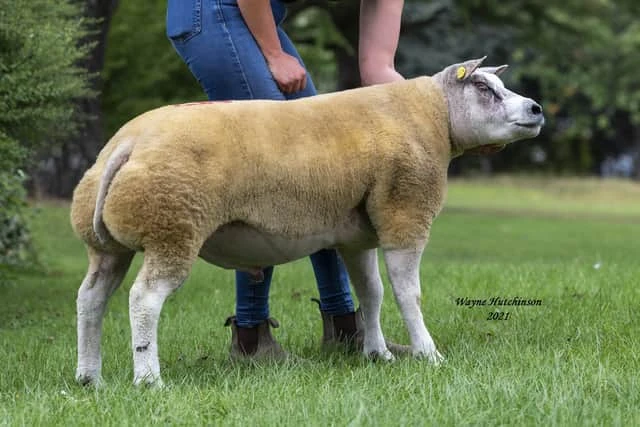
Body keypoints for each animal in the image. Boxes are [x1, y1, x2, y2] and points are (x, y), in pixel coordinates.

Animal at [70, 57, 544, 387]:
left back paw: (89, 377)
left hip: (107, 245)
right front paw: (428, 354)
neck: (434, 116)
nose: (536, 109)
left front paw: (377, 354)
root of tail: (129, 142)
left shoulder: (356, 235)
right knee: (144, 300)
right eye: (482, 86)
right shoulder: (403, 211)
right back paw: (149, 379)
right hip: (172, 226)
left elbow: (370, 293)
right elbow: (408, 293)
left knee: (90, 299)